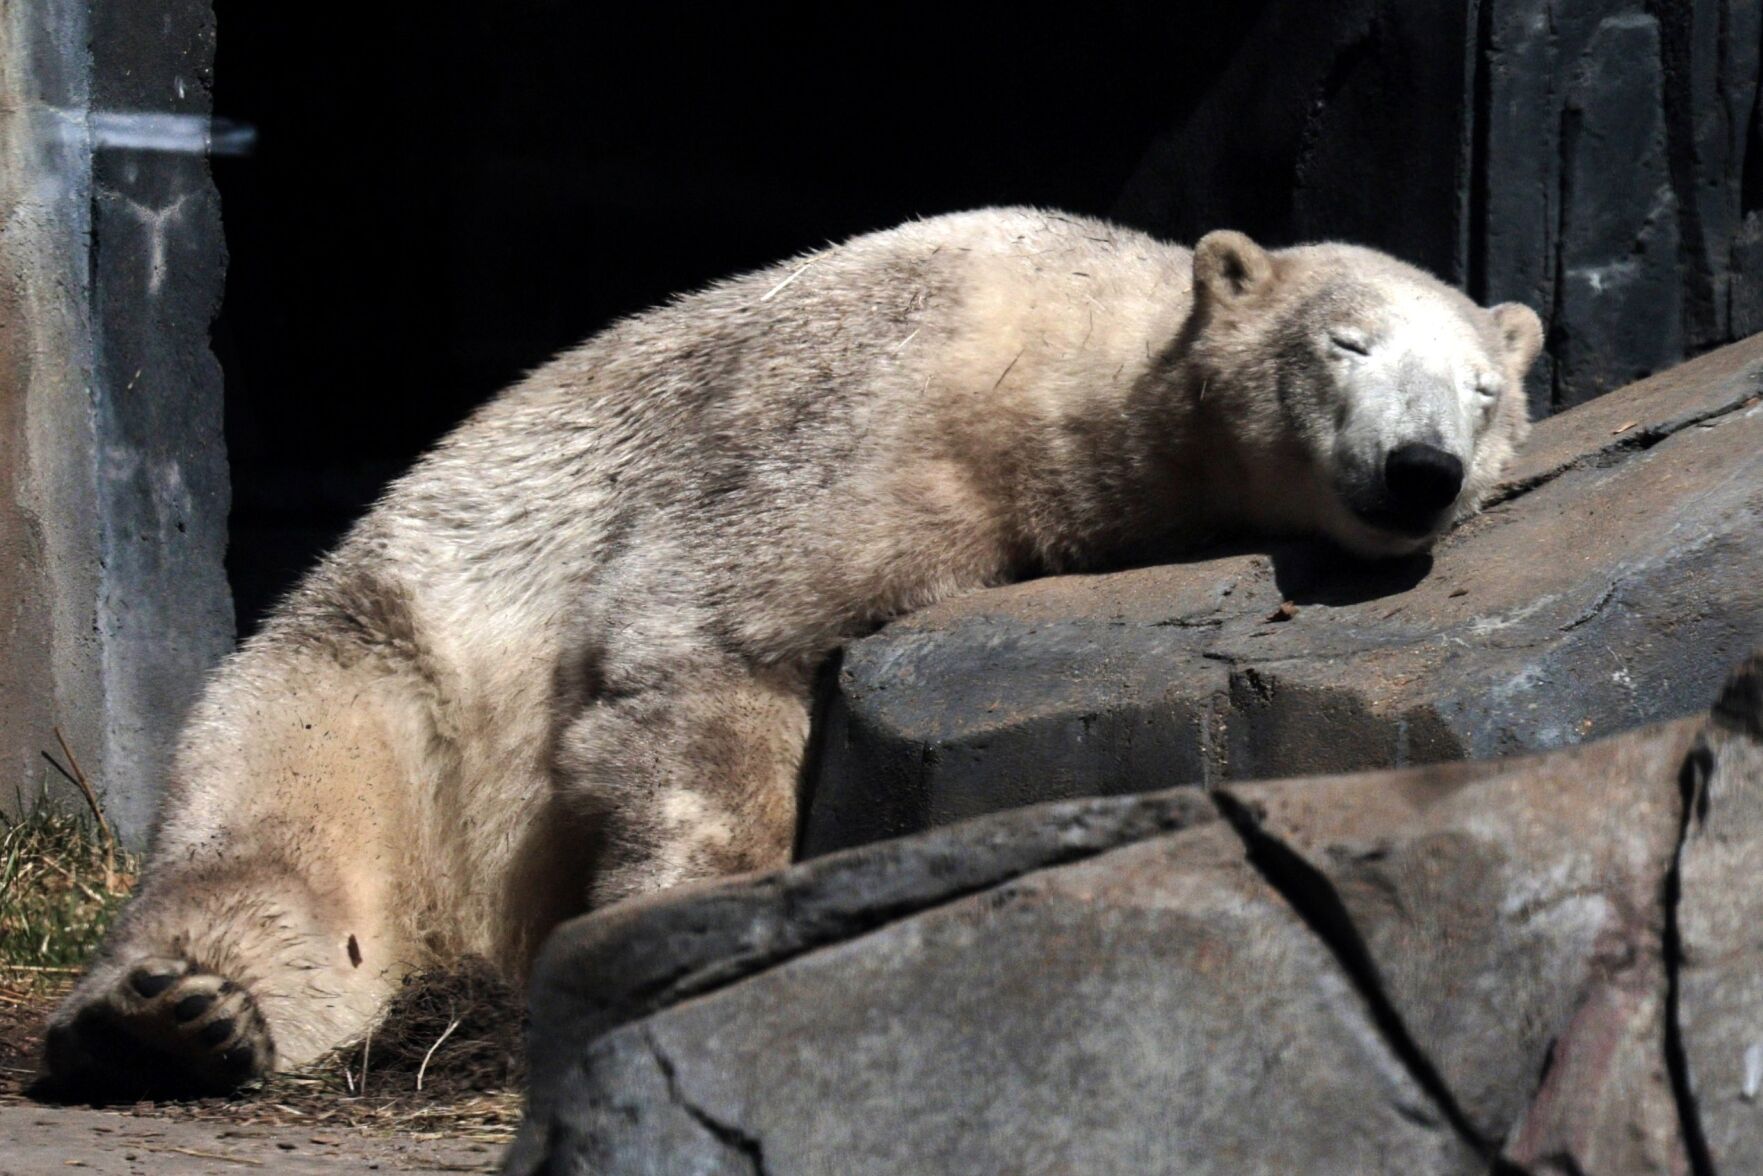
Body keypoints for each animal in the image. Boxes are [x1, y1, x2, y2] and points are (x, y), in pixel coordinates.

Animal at [40, 208, 1543, 1099]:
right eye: (1343, 342)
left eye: (1485, 390)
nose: (1419, 471)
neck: (1065, 349)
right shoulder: (866, 420)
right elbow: (706, 645)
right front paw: (682, 928)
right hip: (380, 676)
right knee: (281, 837)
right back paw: (171, 1016)